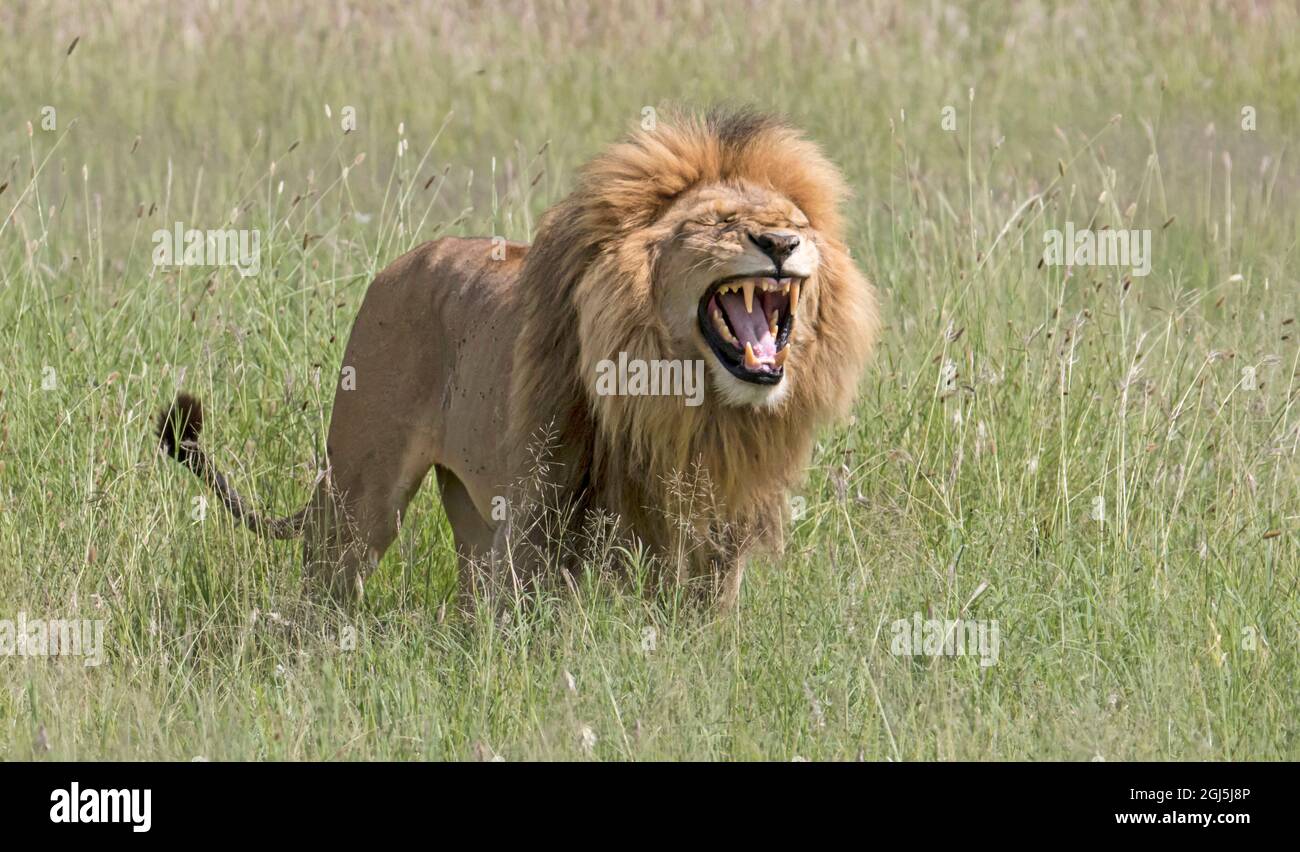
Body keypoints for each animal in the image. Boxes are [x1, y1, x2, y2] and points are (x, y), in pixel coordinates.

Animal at [158, 108, 880, 610]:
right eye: (720, 222)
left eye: (797, 222)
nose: (781, 243)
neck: (688, 405)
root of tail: (395, 266)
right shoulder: (543, 514)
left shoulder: (716, 527)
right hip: (361, 493)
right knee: (326, 583)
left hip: (469, 509)